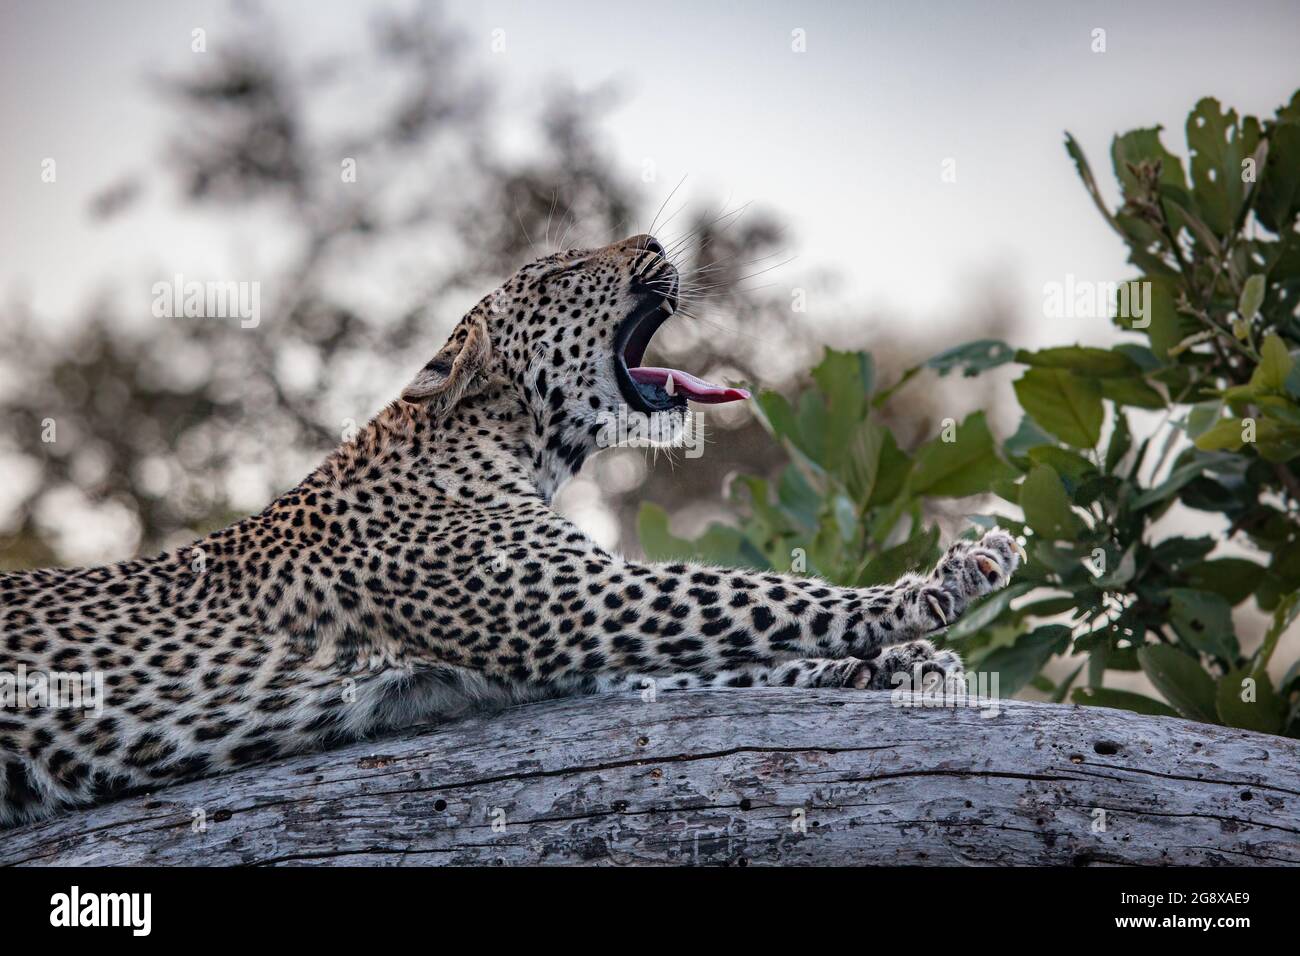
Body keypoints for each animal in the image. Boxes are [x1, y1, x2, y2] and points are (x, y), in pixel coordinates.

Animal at [0, 233, 1021, 828]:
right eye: (563, 272)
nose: (654, 237)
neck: (516, 447)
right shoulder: (586, 601)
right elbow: (760, 595)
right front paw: (946, 582)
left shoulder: (558, 643)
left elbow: (744, 658)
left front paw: (896, 666)